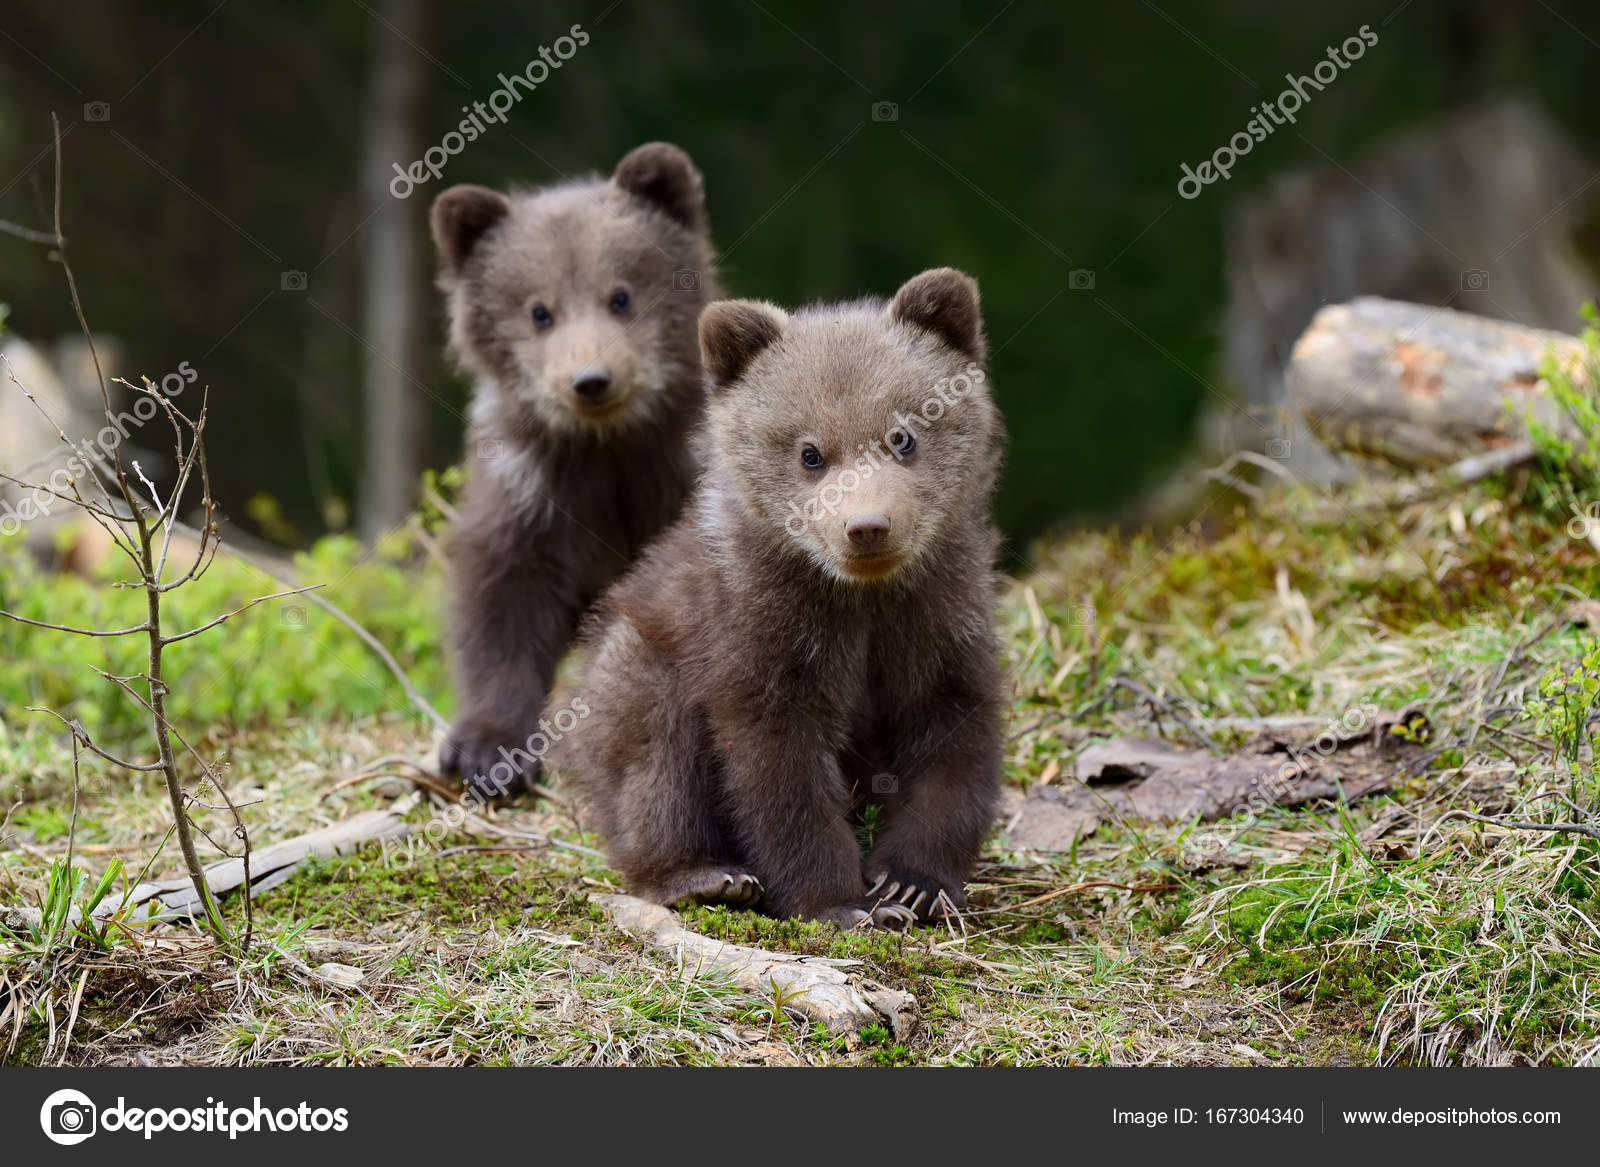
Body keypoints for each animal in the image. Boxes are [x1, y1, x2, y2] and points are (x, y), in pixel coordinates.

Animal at [430, 142, 721, 802]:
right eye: (539, 310)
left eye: (621, 295)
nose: (591, 380)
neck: (606, 449)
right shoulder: (530, 489)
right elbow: (502, 600)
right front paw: (488, 752)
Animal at [551, 268, 1005, 929]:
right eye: (809, 452)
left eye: (903, 436)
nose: (867, 527)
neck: (862, 598)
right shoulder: (759, 629)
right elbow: (780, 769)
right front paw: (838, 901)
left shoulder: (940, 614)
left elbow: (953, 739)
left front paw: (911, 882)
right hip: (639, 663)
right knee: (653, 761)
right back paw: (703, 876)